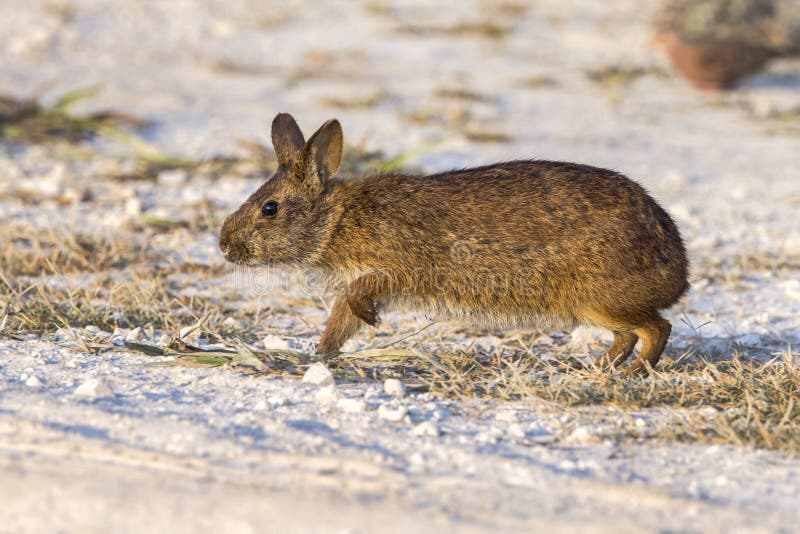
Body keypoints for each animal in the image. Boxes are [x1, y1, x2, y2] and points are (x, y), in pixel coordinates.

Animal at [219, 113, 689, 375]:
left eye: (270, 209)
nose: (224, 245)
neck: (337, 220)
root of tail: (678, 270)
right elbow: (338, 324)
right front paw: (318, 357)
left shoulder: (395, 269)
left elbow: (358, 301)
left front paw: (368, 322)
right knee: (628, 337)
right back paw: (595, 367)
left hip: (600, 300)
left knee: (656, 330)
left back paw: (631, 375)